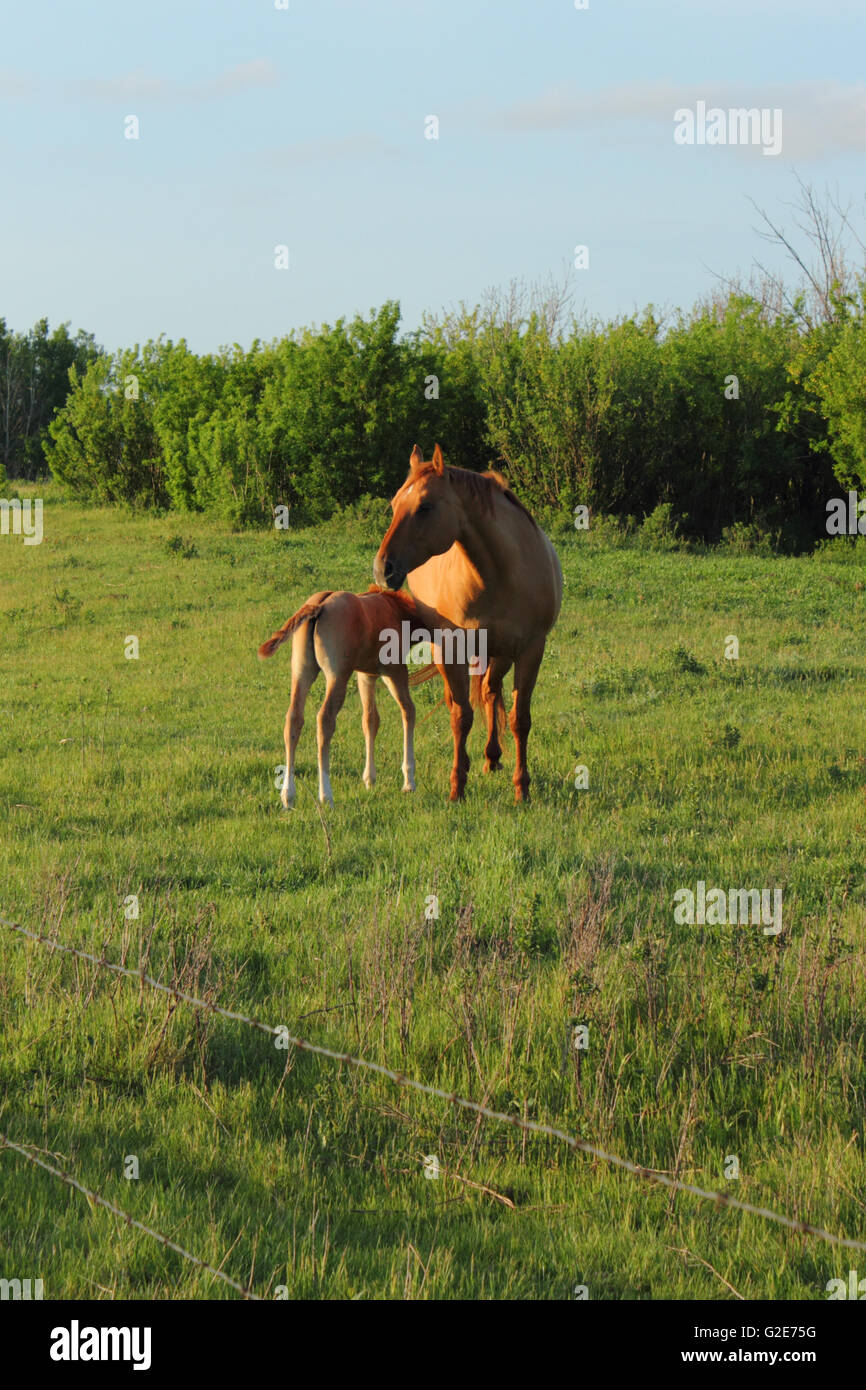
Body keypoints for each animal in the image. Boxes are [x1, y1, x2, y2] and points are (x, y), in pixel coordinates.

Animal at [258, 587, 421, 806]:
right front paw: (408, 781)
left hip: (301, 671)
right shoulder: (394, 670)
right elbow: (408, 711)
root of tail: (319, 604)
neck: (395, 609)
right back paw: (326, 795)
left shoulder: (366, 675)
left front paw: (370, 780)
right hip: (337, 676)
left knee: (293, 719)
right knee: (325, 720)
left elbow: (370, 720)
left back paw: (288, 796)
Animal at [373, 444, 562, 803]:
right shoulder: (452, 650)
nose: (383, 569)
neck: (499, 574)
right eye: (393, 505)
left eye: (425, 506)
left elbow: (520, 719)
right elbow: (461, 717)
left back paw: (492, 757)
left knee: (489, 691)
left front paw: (522, 789)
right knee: (461, 701)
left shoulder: (531, 650)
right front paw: (457, 787)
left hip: (499, 654)